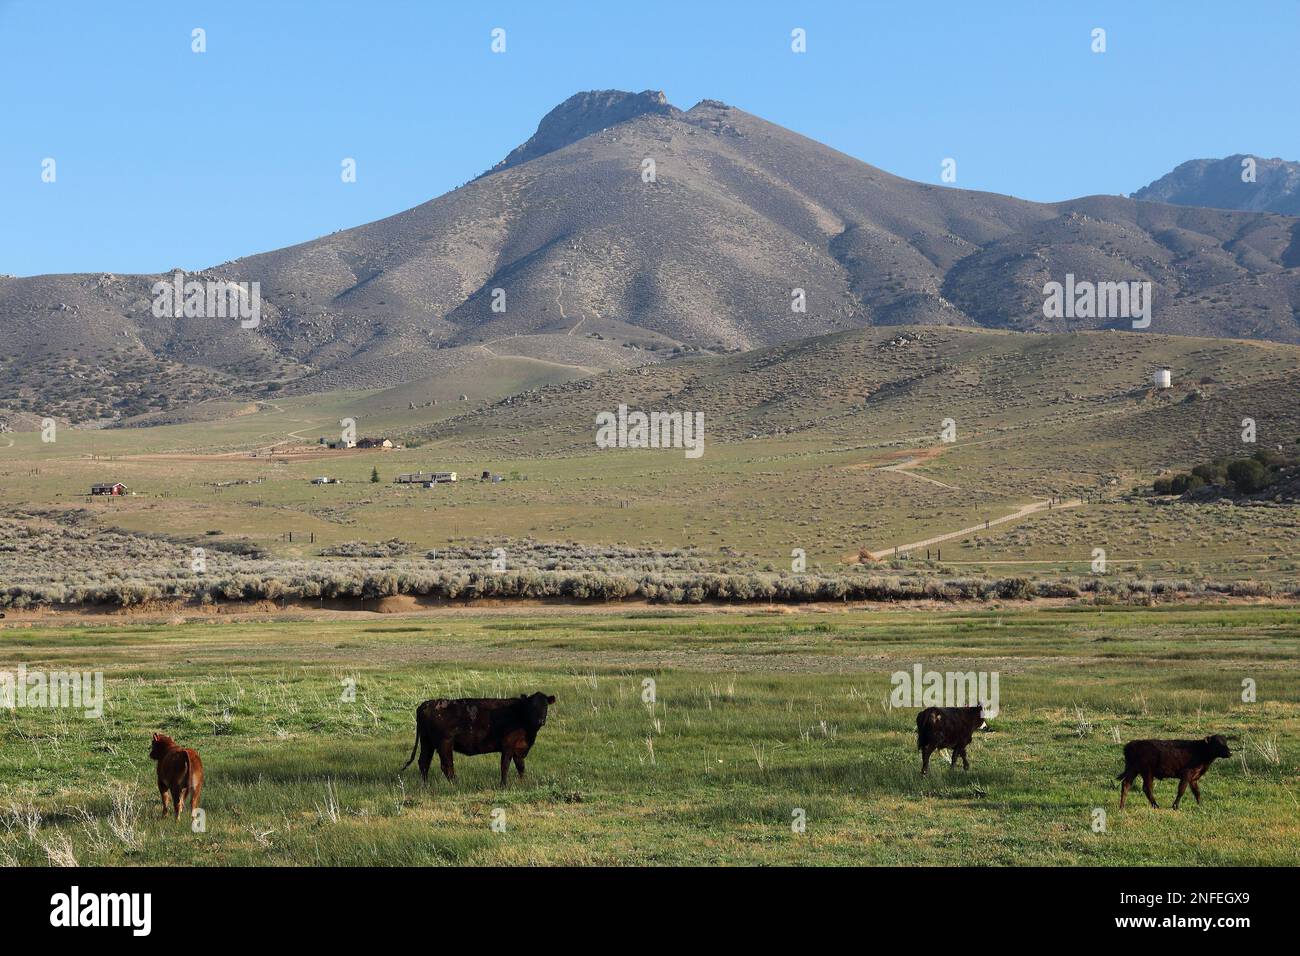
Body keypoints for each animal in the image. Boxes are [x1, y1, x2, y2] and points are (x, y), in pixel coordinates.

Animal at [399, 692, 556, 786]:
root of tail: (426, 704)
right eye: (532, 706)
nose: (541, 720)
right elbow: (505, 766)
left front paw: (523, 782)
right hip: (444, 743)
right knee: (446, 765)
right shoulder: (508, 746)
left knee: (424, 762)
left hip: (427, 742)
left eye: (545, 706)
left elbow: (521, 767)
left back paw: (425, 785)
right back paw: (456, 784)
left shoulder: (518, 749)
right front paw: (503, 785)